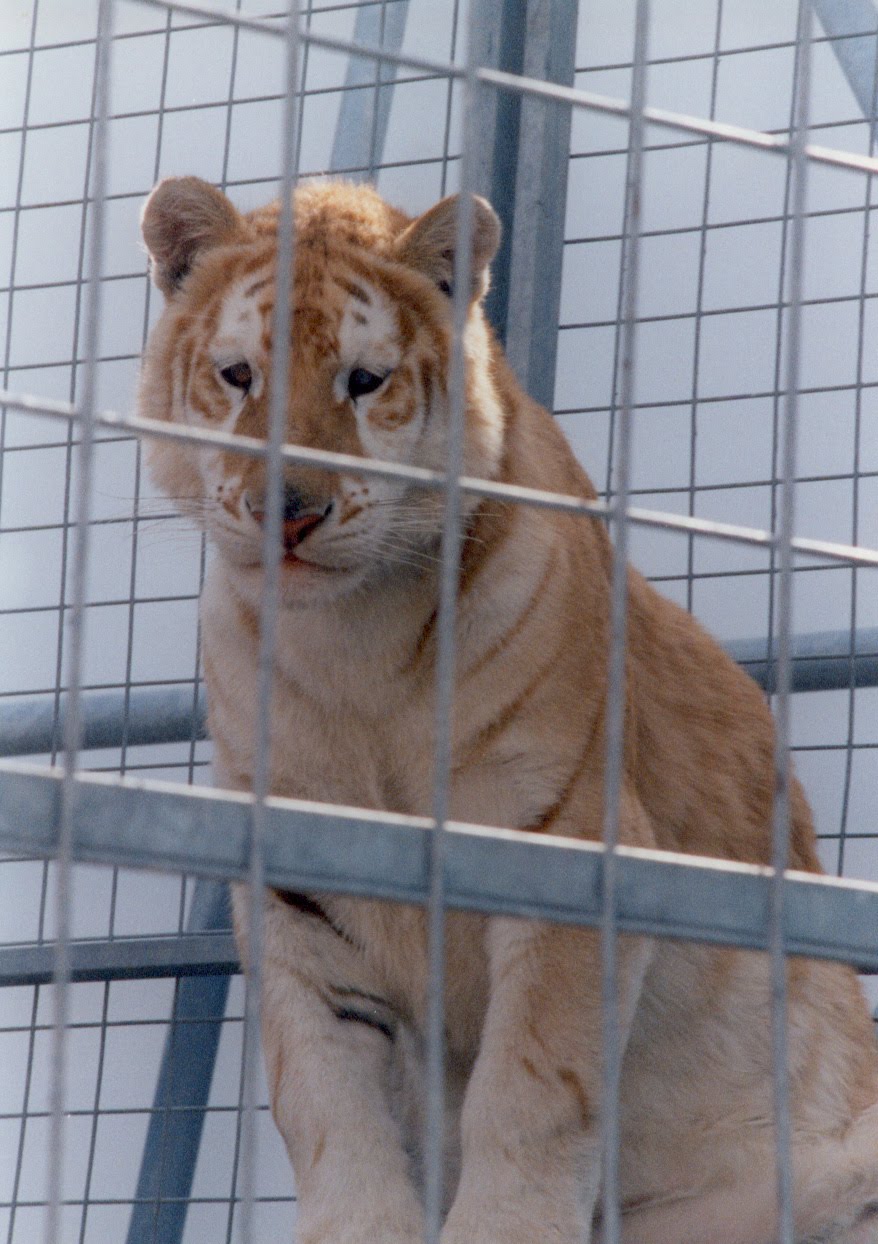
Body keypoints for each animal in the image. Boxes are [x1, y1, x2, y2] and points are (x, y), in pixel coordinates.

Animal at [138, 175, 878, 1243]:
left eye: (364, 382)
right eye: (238, 376)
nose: (290, 509)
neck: (351, 643)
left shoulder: (563, 846)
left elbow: (529, 1089)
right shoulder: (294, 887)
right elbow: (322, 1092)